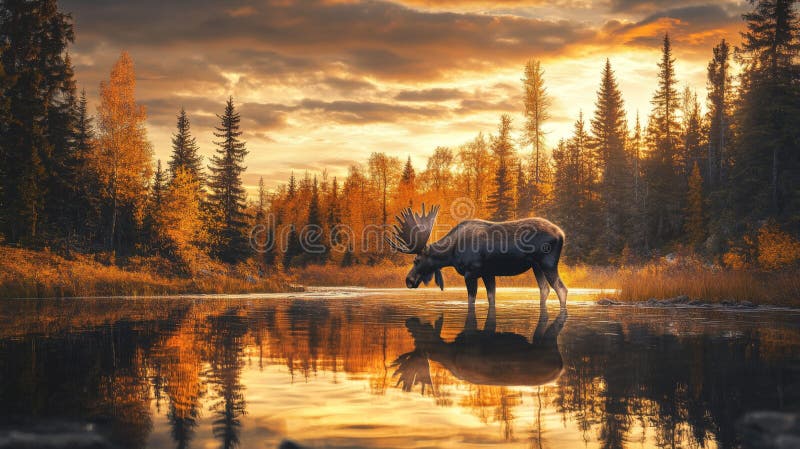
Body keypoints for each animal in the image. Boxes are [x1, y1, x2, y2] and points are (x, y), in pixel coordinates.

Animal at [386, 204, 568, 313]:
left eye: (416, 261)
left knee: (561, 289)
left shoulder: (471, 272)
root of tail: (562, 234)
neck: (451, 254)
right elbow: (491, 298)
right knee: (545, 289)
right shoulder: (488, 273)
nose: (408, 280)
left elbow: (471, 300)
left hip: (548, 263)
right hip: (536, 266)